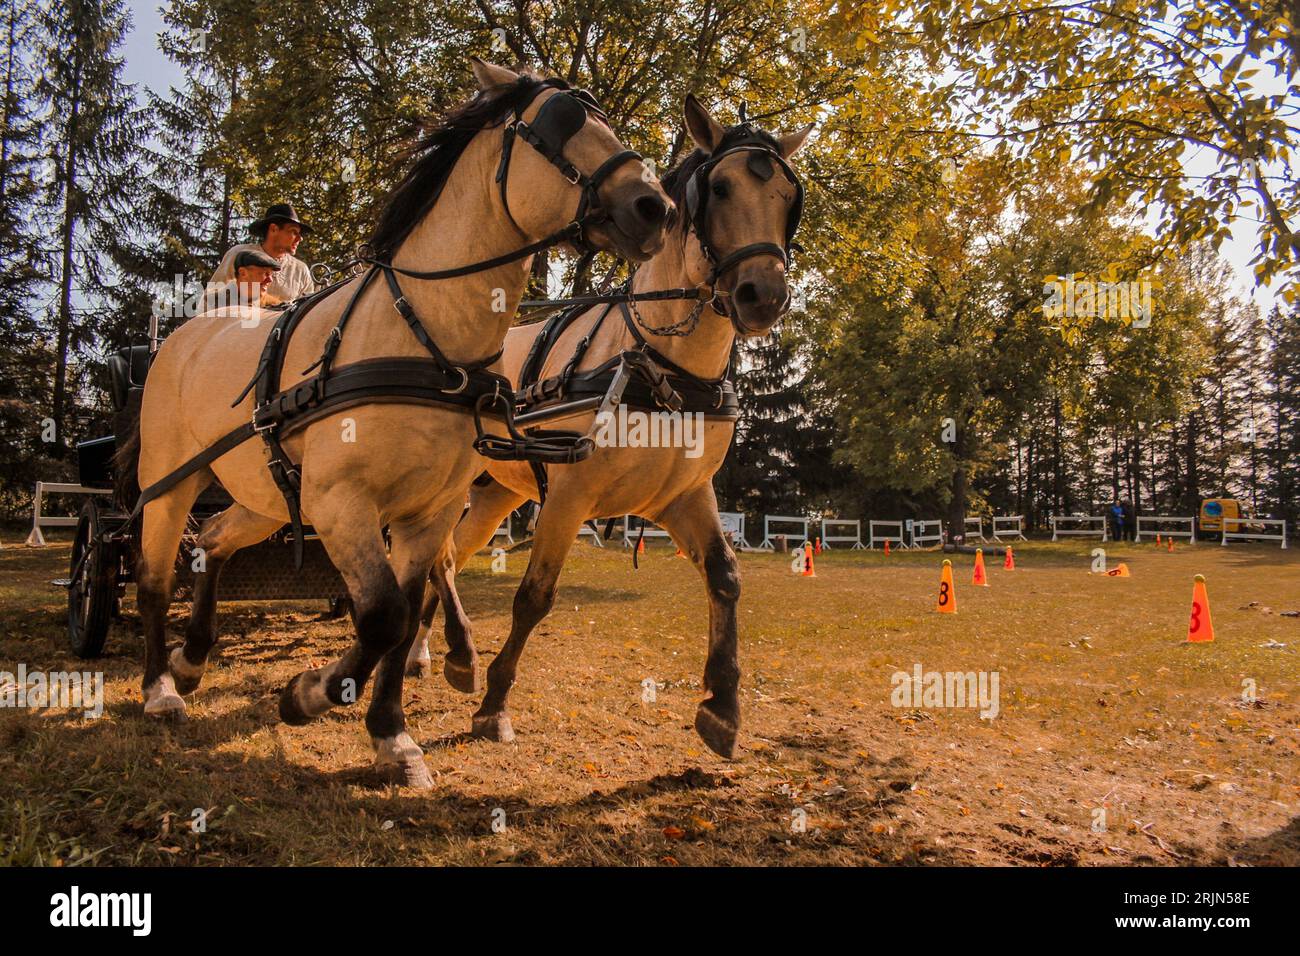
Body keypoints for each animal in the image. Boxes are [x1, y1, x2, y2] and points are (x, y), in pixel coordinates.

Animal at [126, 59, 672, 788]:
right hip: (168, 484)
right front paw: (308, 695)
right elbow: (382, 617)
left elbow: (407, 613)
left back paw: (191, 660)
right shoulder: (342, 502)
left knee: (213, 541)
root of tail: (183, 336)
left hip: (265, 498)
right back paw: (159, 687)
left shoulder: (427, 511)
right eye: (562, 124)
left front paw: (390, 733)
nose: (656, 207)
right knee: (156, 577)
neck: (423, 339)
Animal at [406, 96, 812, 760]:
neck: (659, 364)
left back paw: (426, 652)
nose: (763, 295)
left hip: (495, 493)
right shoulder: (569, 496)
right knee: (434, 556)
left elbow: (726, 579)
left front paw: (722, 708)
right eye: (720, 187)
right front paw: (495, 706)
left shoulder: (683, 495)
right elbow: (534, 597)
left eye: (787, 195)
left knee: (447, 559)